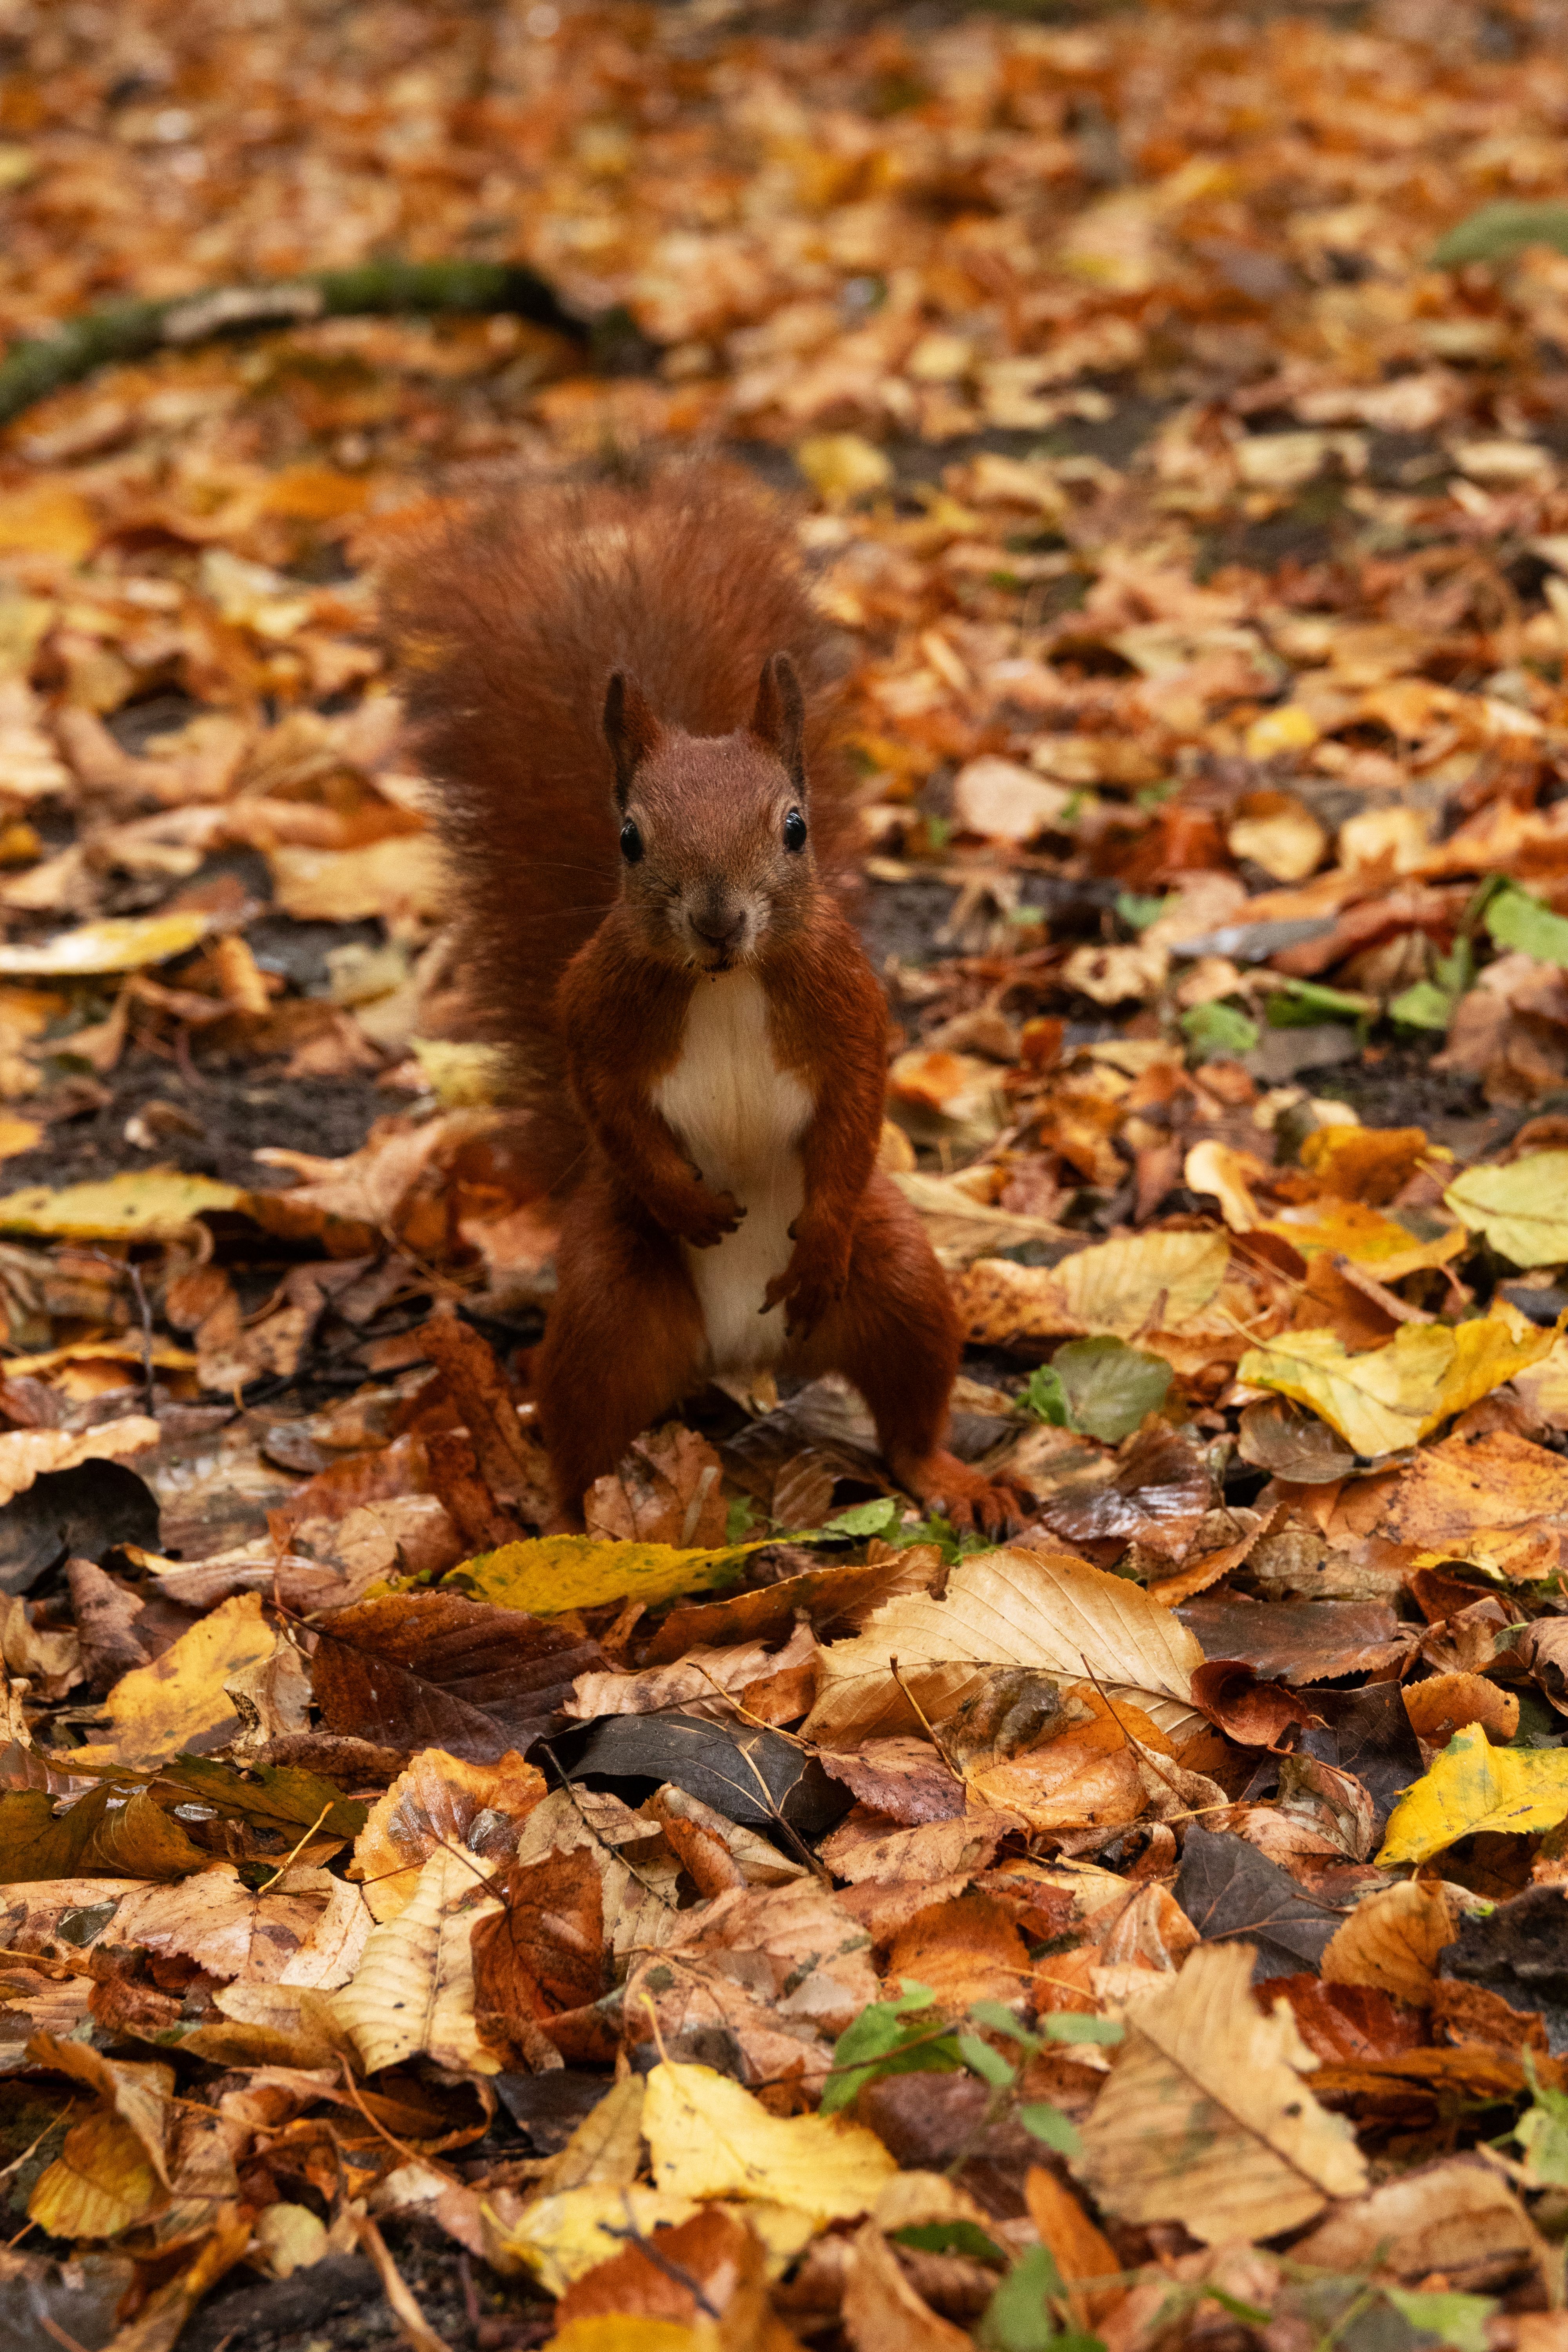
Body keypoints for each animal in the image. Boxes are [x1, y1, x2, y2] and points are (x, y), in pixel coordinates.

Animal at [385, 464, 1025, 1535]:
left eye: (796, 827)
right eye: (630, 838)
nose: (720, 920)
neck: (725, 986)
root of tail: (744, 1356)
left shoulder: (849, 1011)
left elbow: (855, 1111)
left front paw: (814, 1244)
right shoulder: (593, 1014)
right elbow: (606, 1104)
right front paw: (689, 1200)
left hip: (897, 1278)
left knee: (908, 1409)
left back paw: (952, 1479)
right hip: (610, 1304)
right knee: (585, 1434)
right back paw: (571, 1530)